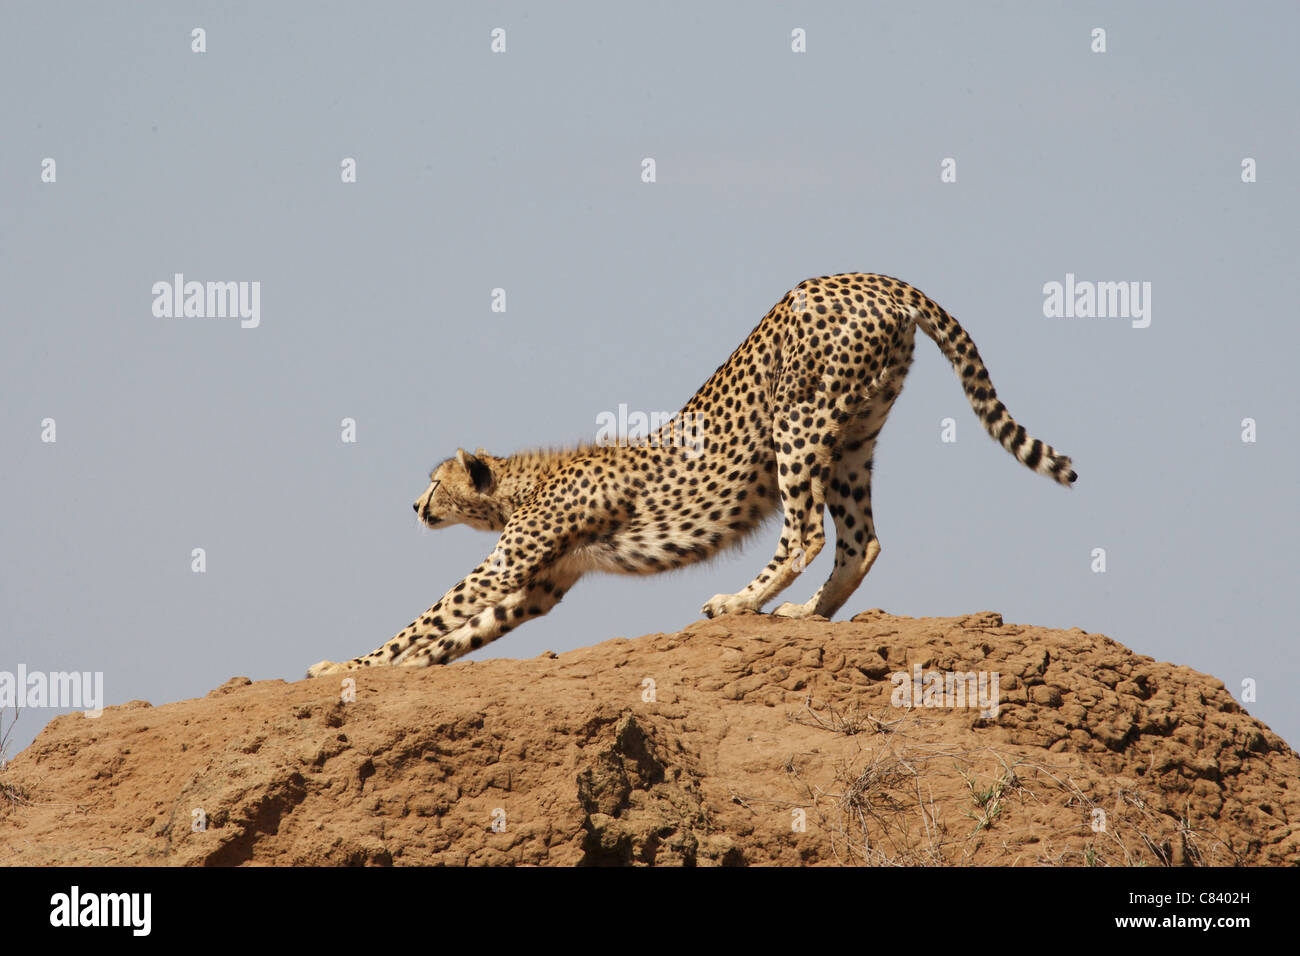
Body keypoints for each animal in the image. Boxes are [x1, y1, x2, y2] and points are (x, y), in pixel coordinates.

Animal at [307, 273, 1075, 677]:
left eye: (436, 483)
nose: (413, 506)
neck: (522, 484)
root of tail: (866, 275)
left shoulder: (509, 565)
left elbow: (431, 613)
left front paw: (346, 668)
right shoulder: (538, 586)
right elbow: (458, 630)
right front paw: (398, 668)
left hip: (798, 422)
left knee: (804, 532)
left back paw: (739, 603)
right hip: (856, 435)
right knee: (862, 539)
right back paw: (808, 614)